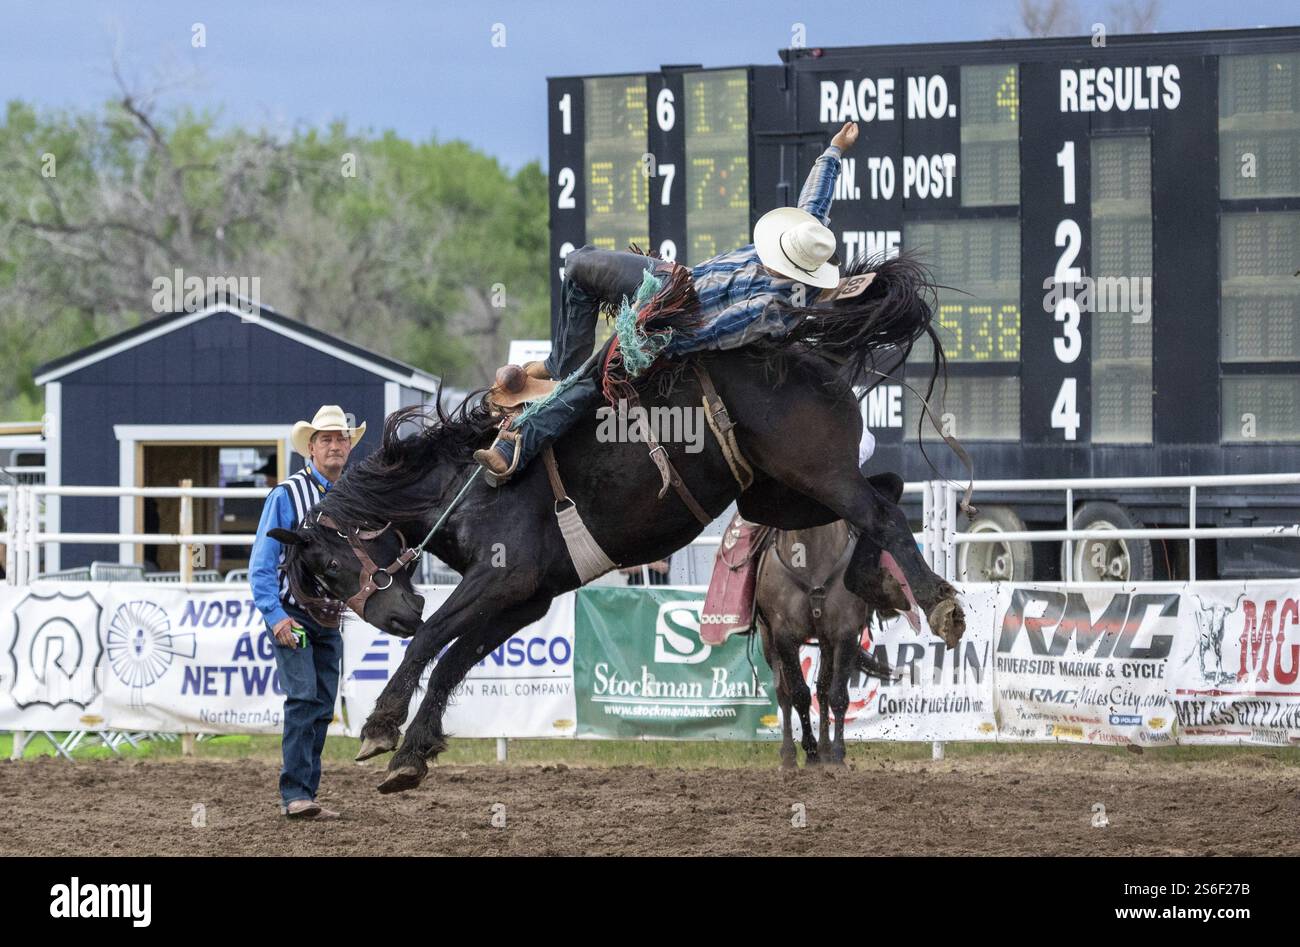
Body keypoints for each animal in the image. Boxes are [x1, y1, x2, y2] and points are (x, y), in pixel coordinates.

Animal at [270, 253, 965, 794]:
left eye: (328, 566)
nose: (393, 616)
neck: (460, 485)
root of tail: (803, 349)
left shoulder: (500, 578)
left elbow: (436, 639)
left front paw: (380, 728)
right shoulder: (526, 597)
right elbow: (455, 658)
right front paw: (413, 754)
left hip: (815, 472)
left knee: (880, 510)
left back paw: (940, 603)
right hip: (780, 496)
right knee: (886, 490)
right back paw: (881, 582)